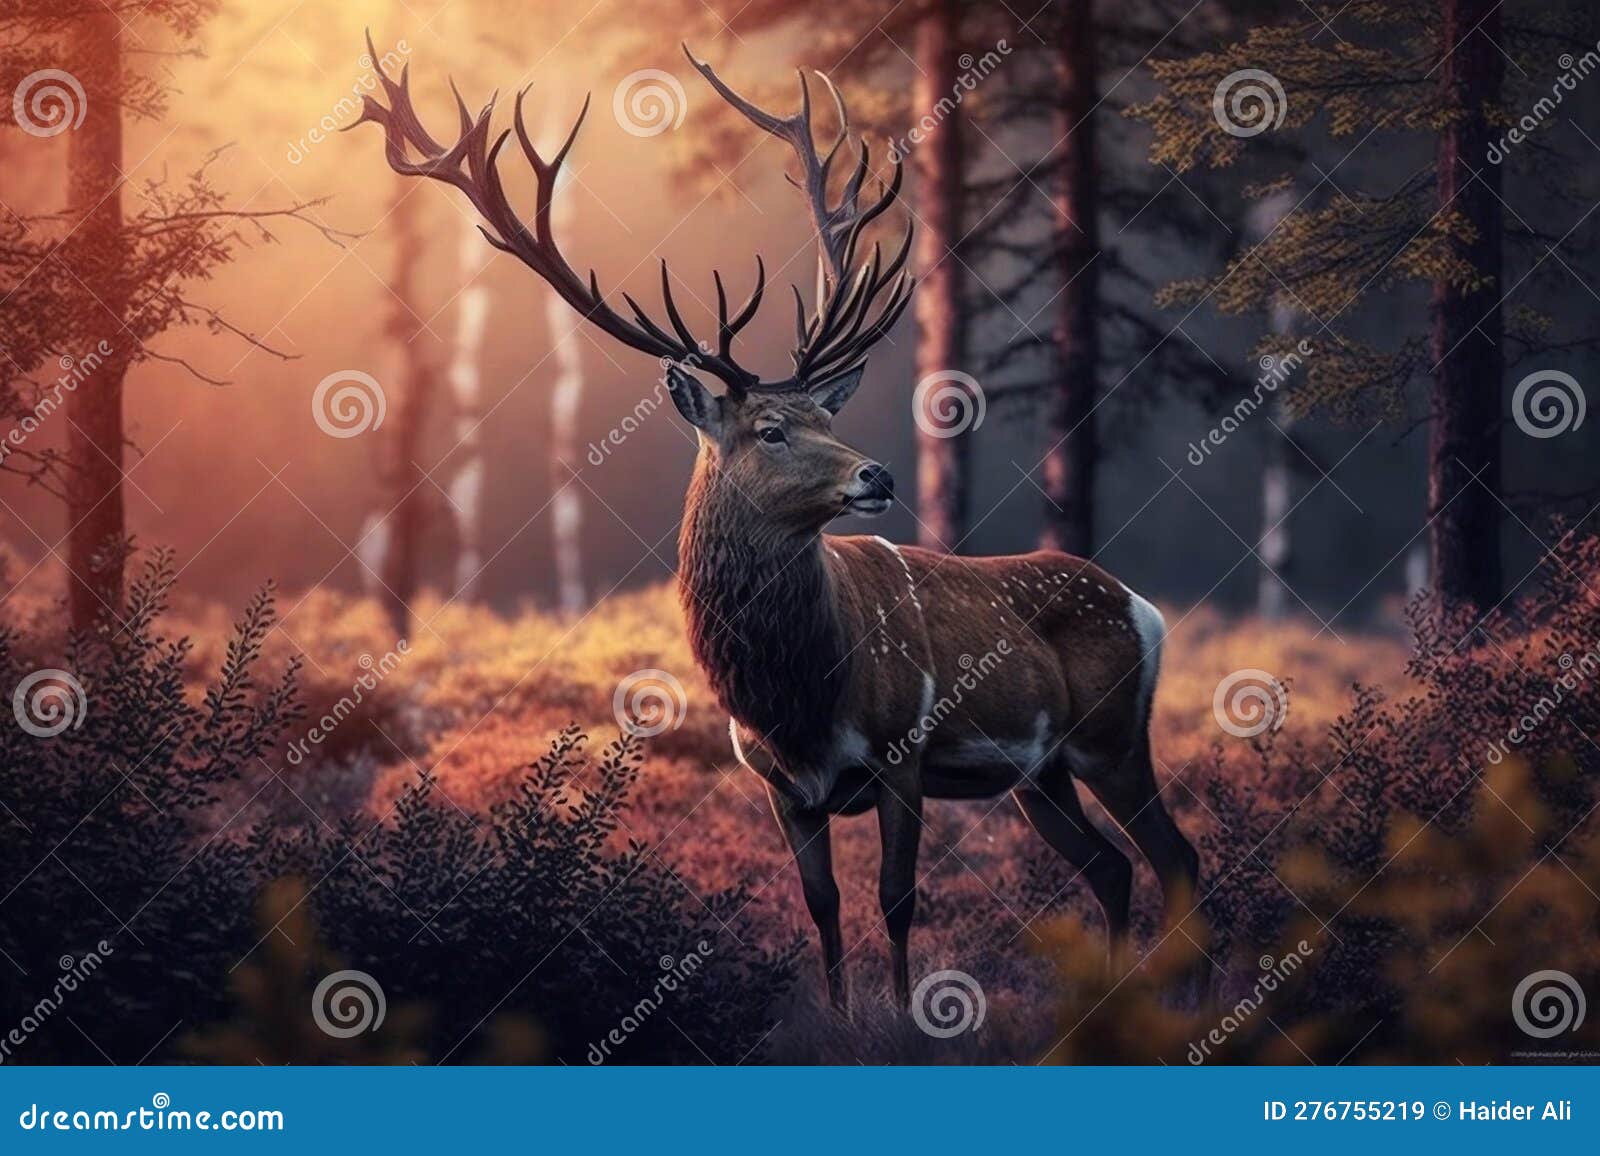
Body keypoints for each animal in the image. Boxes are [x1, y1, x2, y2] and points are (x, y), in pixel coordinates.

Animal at [354, 38, 1202, 1013]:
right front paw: (839, 1017)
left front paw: (904, 1020)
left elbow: (897, 900)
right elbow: (822, 905)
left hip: (1112, 735)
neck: (797, 697)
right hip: (1044, 772)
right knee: (1113, 868)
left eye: (829, 418)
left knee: (1177, 856)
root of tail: (1143, 605)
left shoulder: (902, 750)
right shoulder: (777, 783)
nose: (878, 473)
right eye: (771, 429)